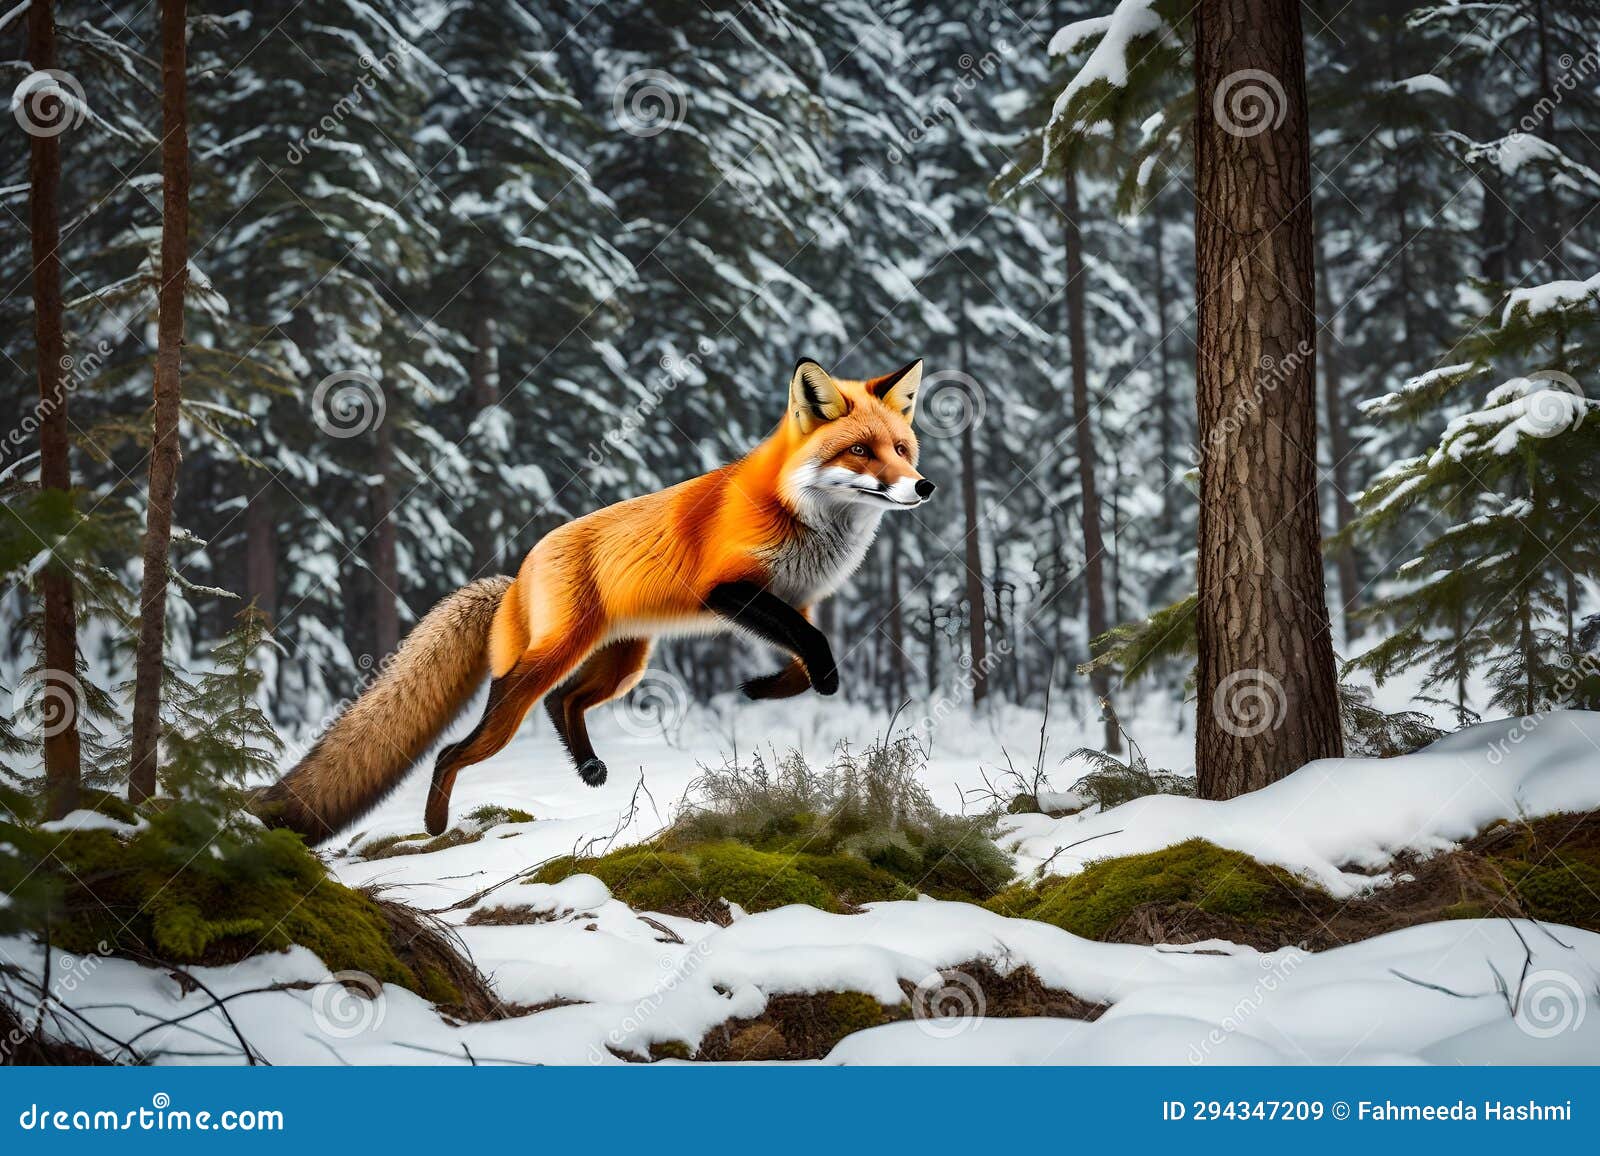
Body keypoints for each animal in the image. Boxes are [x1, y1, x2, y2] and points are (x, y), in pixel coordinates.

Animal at [256, 357, 933, 842]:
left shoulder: (796, 601)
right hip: (550, 662)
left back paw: (587, 768)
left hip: (625, 664)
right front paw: (793, 684)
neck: (805, 518)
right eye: (859, 451)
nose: (923, 486)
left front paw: (761, 690)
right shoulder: (730, 590)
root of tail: (515, 575)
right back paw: (434, 825)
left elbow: (807, 659)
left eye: (901, 449)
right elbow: (817, 654)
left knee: (565, 703)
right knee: (462, 743)